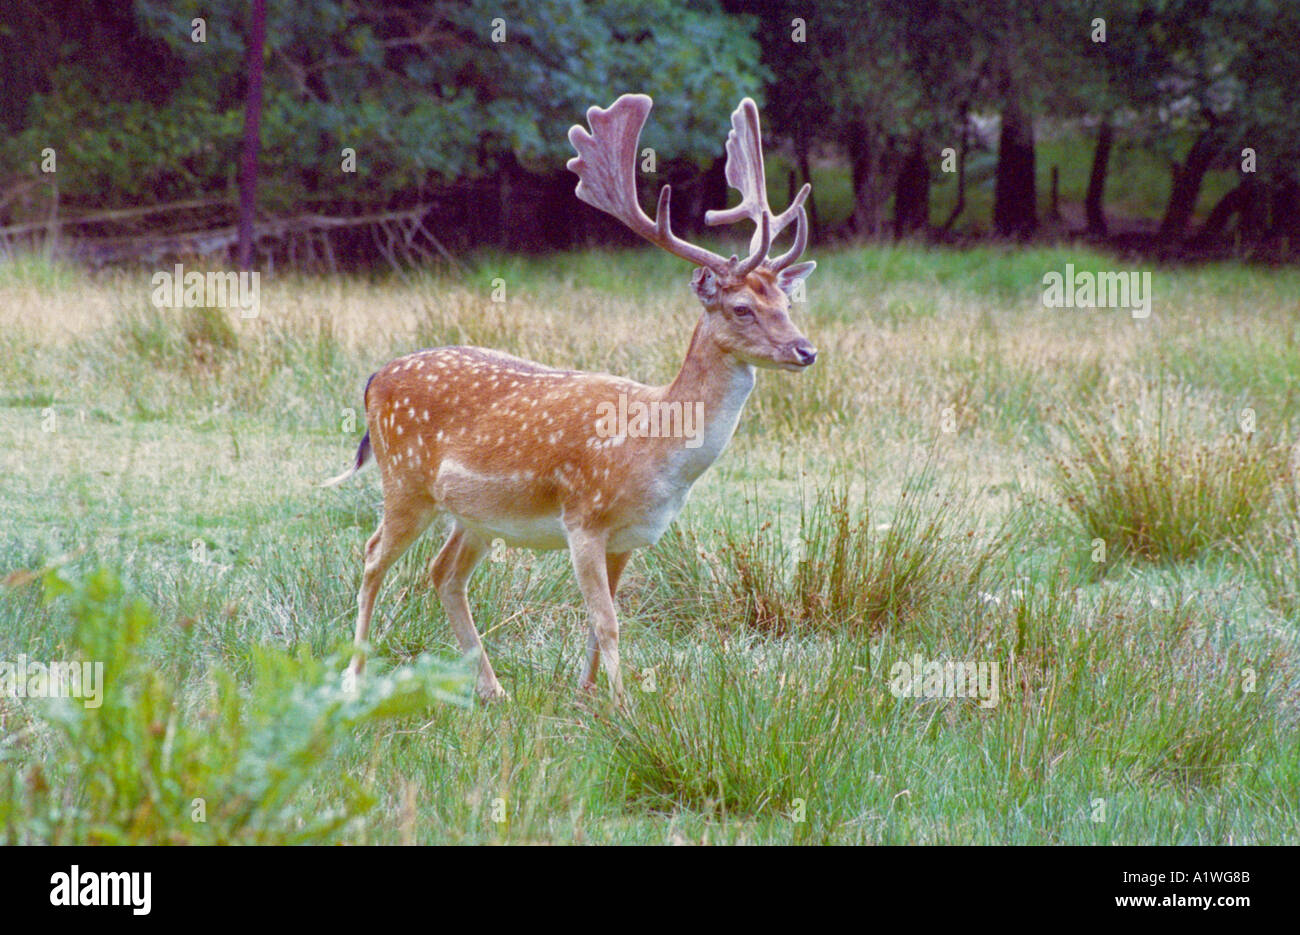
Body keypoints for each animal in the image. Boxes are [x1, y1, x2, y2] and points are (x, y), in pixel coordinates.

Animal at [325, 93, 817, 703]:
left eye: (786, 303)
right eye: (742, 309)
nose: (805, 350)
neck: (657, 451)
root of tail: (376, 377)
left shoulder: (629, 537)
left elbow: (595, 623)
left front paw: (586, 697)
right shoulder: (584, 517)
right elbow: (606, 622)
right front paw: (625, 706)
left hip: (474, 515)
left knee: (443, 572)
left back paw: (493, 688)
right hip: (404, 481)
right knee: (372, 556)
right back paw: (353, 679)